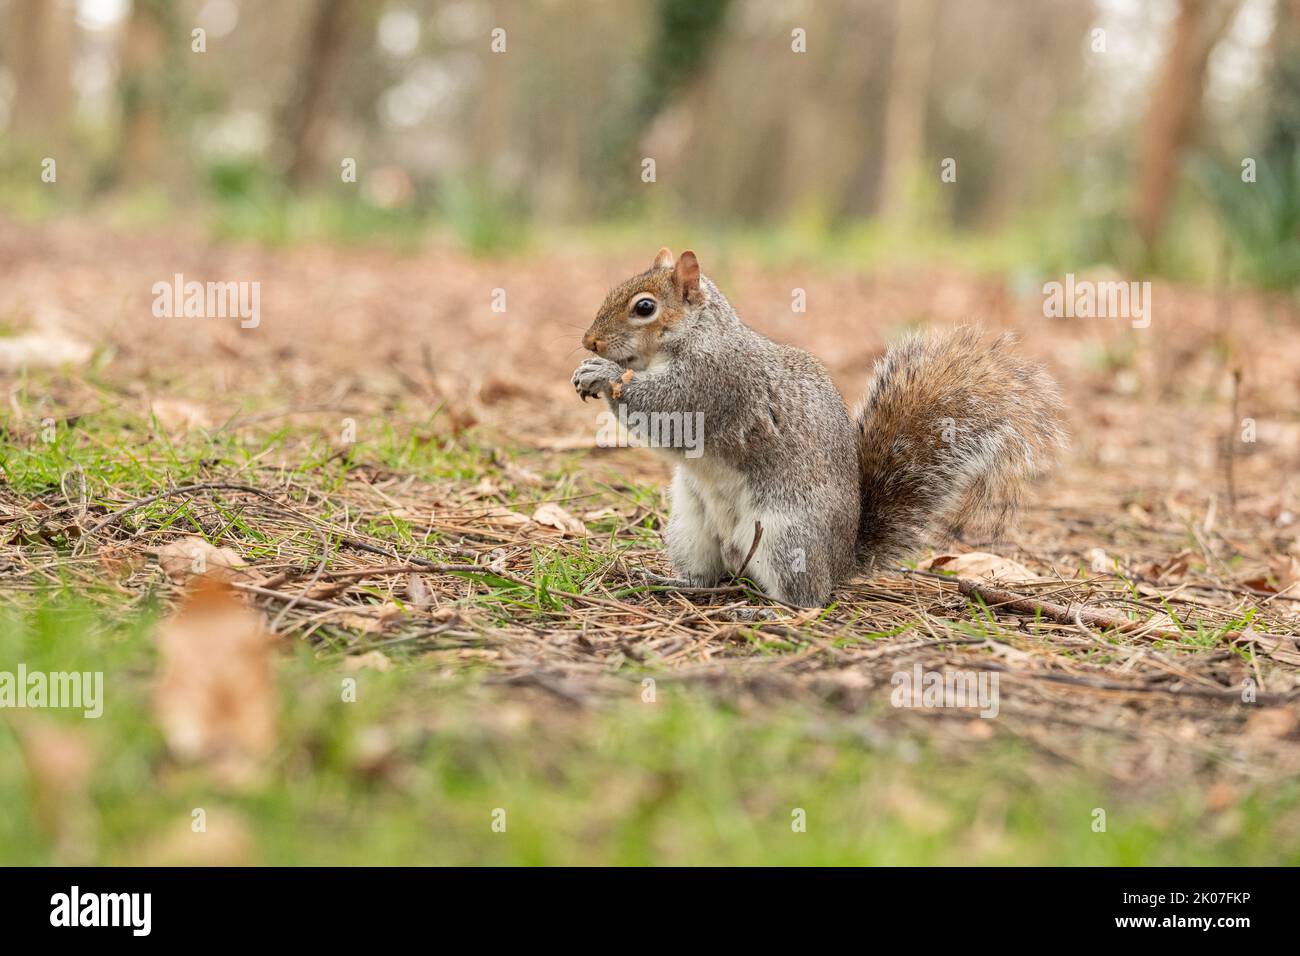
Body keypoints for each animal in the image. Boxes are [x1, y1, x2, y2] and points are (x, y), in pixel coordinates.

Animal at [572, 247, 1066, 607]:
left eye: (645, 307)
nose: (589, 341)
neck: (696, 336)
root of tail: (841, 561)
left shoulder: (714, 384)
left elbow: (666, 411)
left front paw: (604, 375)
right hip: (690, 528)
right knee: (709, 575)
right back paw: (674, 583)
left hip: (787, 536)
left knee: (808, 599)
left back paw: (769, 610)